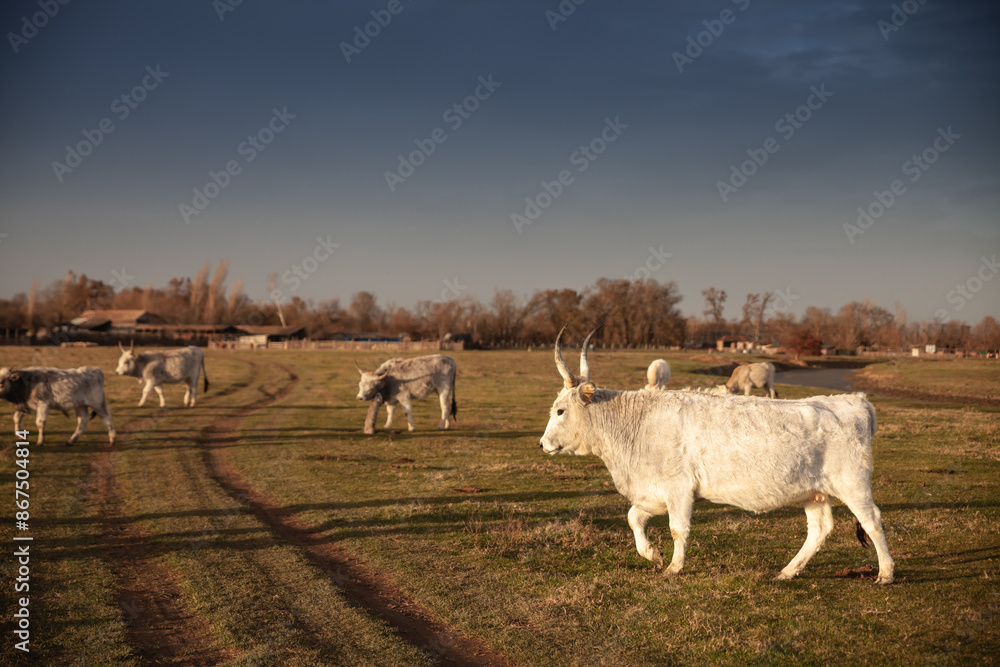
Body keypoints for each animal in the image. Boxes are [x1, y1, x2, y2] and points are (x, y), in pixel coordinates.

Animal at [539, 327, 894, 584]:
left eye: (560, 410)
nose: (542, 444)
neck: (636, 424)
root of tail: (855, 400)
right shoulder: (653, 491)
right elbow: (632, 517)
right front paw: (651, 554)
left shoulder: (679, 490)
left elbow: (677, 529)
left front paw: (673, 567)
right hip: (814, 492)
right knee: (820, 529)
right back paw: (788, 571)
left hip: (852, 483)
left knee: (872, 521)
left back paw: (886, 573)